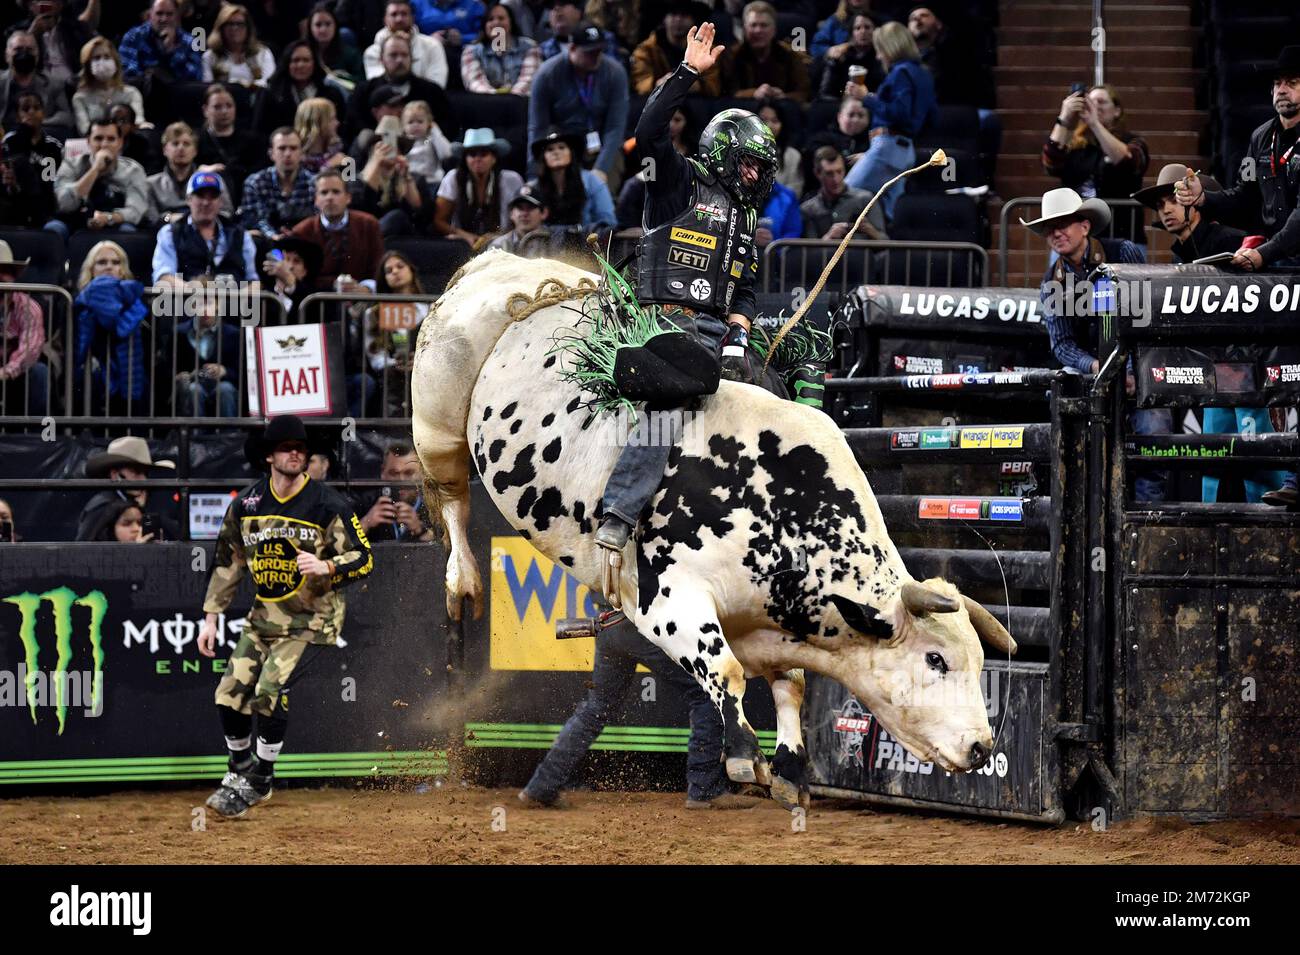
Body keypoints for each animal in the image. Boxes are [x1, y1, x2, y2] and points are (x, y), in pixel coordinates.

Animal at [412, 250, 1016, 808]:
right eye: (935, 659)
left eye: (978, 658)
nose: (982, 747)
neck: (775, 509)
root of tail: (502, 261)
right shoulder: (670, 600)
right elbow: (727, 673)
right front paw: (746, 757)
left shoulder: (769, 627)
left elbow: (791, 686)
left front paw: (789, 769)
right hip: (436, 414)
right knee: (452, 494)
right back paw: (462, 582)